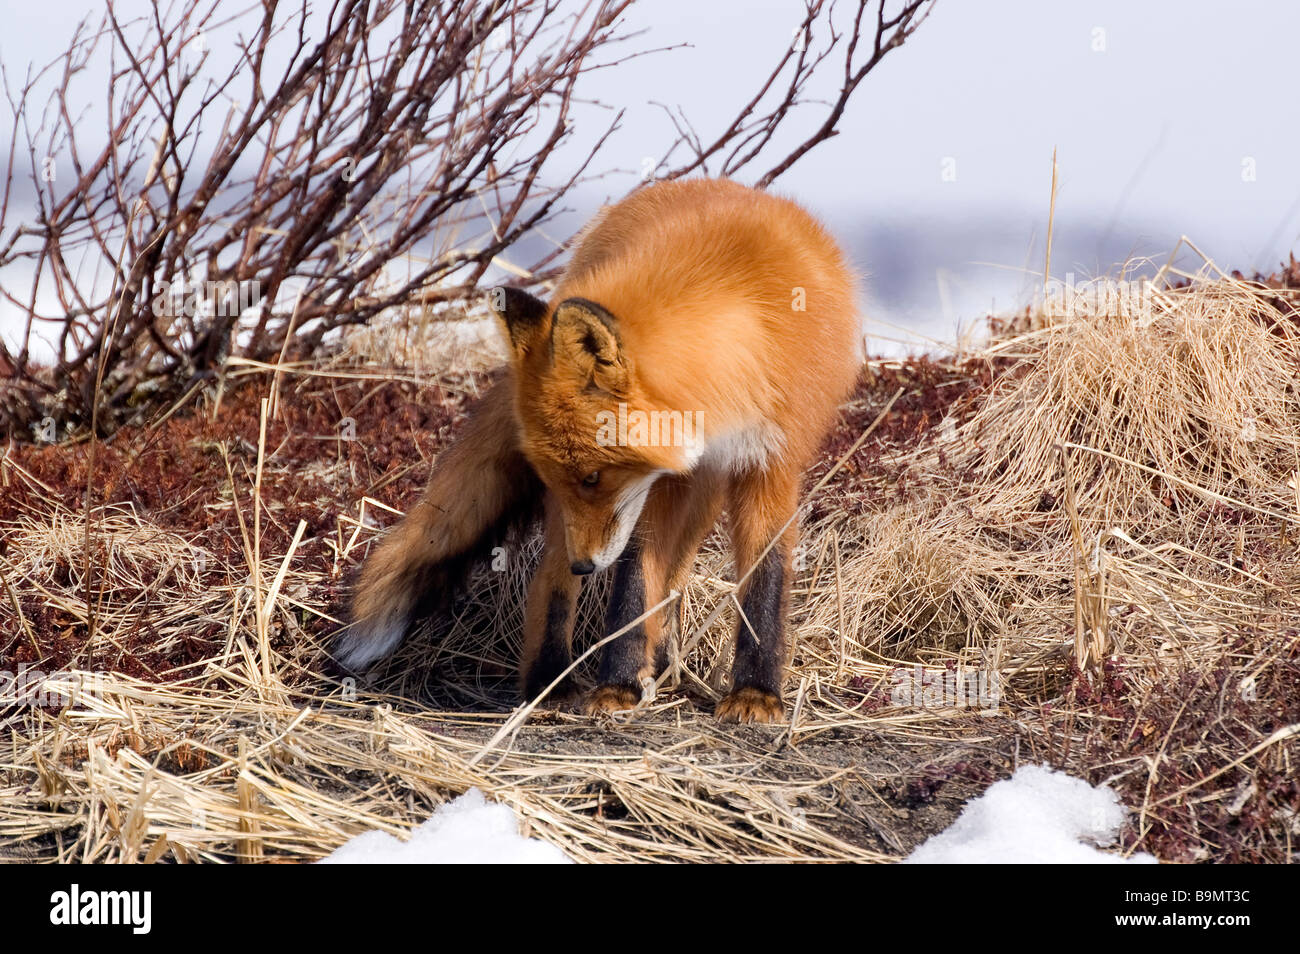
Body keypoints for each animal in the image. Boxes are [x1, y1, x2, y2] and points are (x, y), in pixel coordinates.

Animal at [338, 178, 861, 722]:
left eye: (593, 477)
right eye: (578, 478)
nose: (585, 566)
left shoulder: (769, 461)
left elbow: (764, 582)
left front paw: (756, 692)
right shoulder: (649, 485)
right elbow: (634, 582)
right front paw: (619, 682)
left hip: (700, 489)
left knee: (674, 573)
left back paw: (664, 663)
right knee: (553, 581)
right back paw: (549, 680)